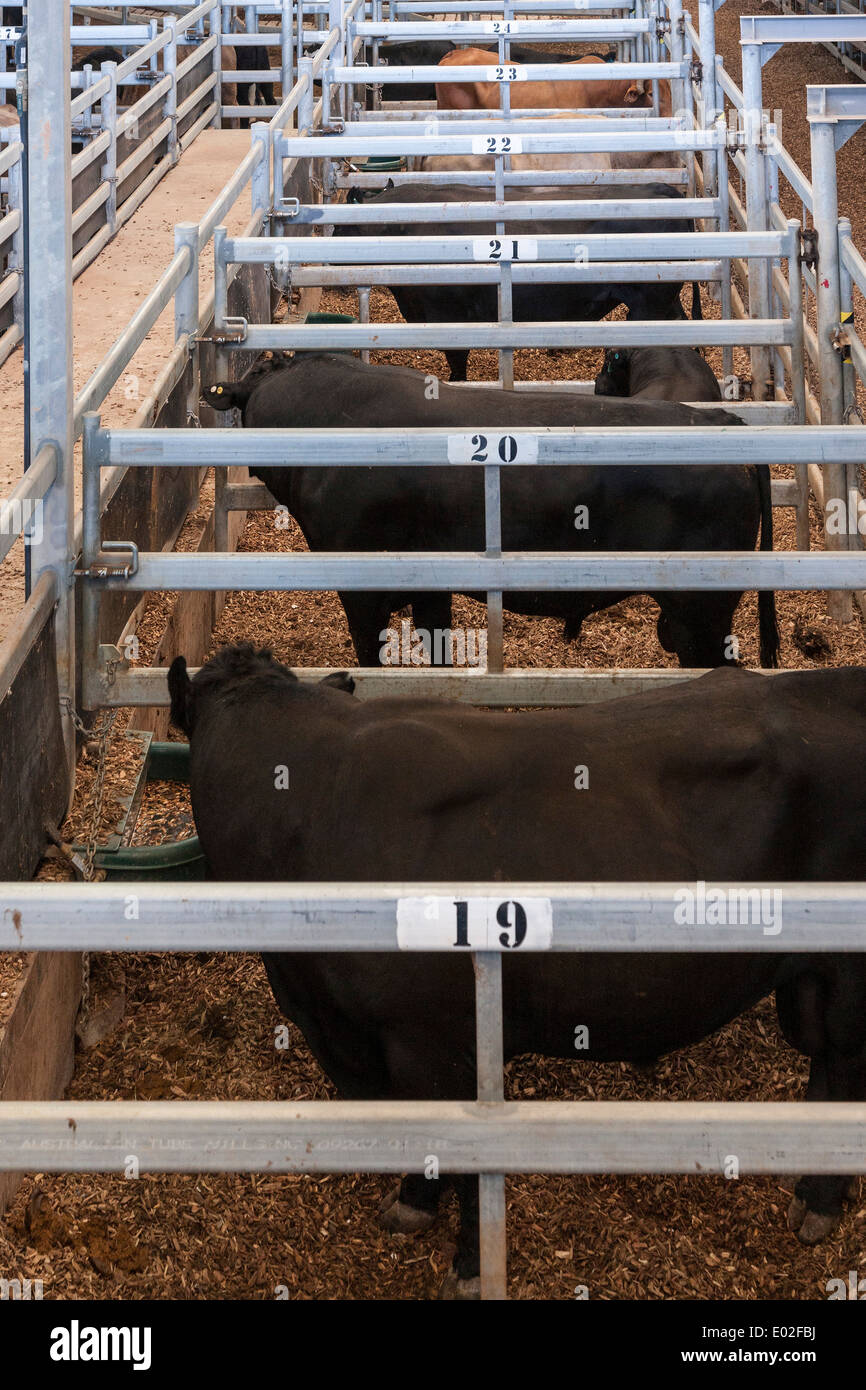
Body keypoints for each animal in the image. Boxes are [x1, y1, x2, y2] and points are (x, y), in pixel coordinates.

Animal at [168, 644, 866, 1297]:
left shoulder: (433, 1040)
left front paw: (470, 1266)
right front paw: (413, 1202)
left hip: (846, 976)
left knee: (842, 1068)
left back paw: (819, 1201)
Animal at [336, 182, 700, 382]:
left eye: (337, 228)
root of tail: (661, 190)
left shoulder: (447, 316)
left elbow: (457, 364)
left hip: (650, 301)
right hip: (665, 300)